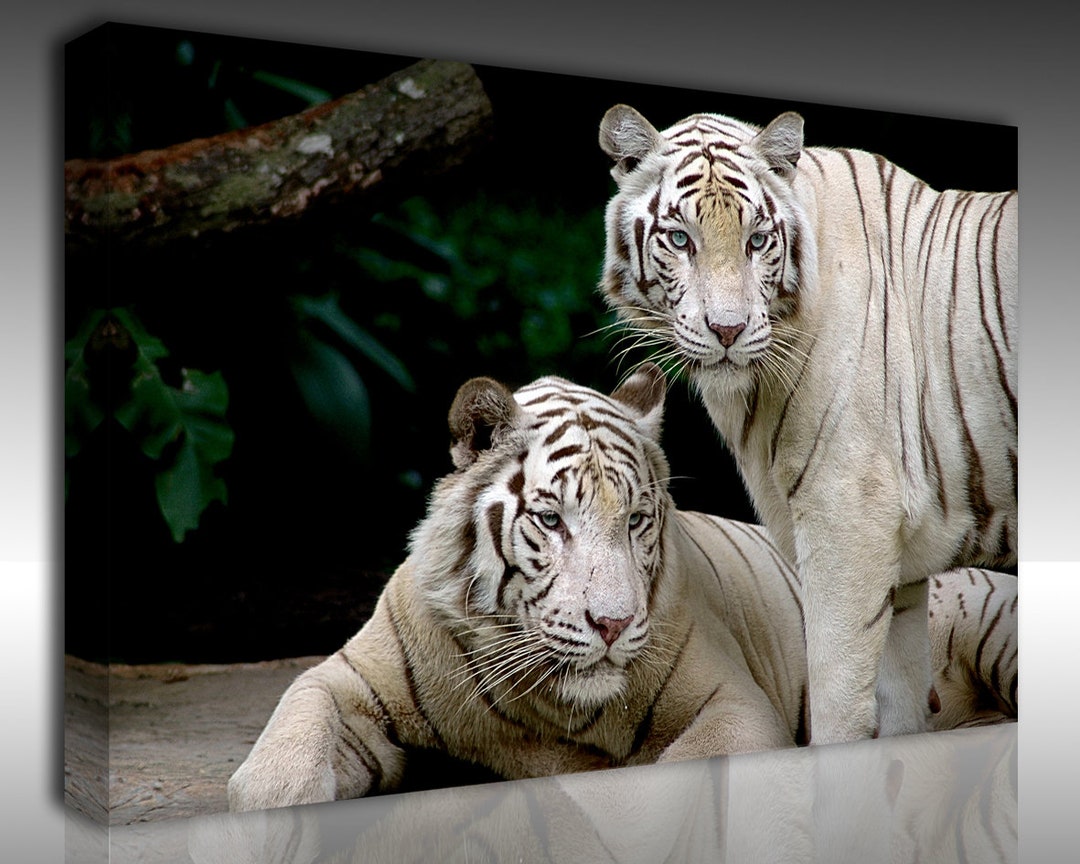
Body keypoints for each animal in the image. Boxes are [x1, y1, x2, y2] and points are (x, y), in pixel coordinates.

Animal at [227, 364, 1016, 811]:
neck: (539, 705)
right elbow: (276, 773)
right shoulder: (343, 678)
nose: (611, 624)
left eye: (636, 519)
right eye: (551, 519)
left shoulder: (735, 707)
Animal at [597, 104, 1018, 745]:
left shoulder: (848, 523)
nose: (727, 330)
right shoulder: (900, 573)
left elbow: (838, 704)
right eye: (680, 239)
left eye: (757, 240)